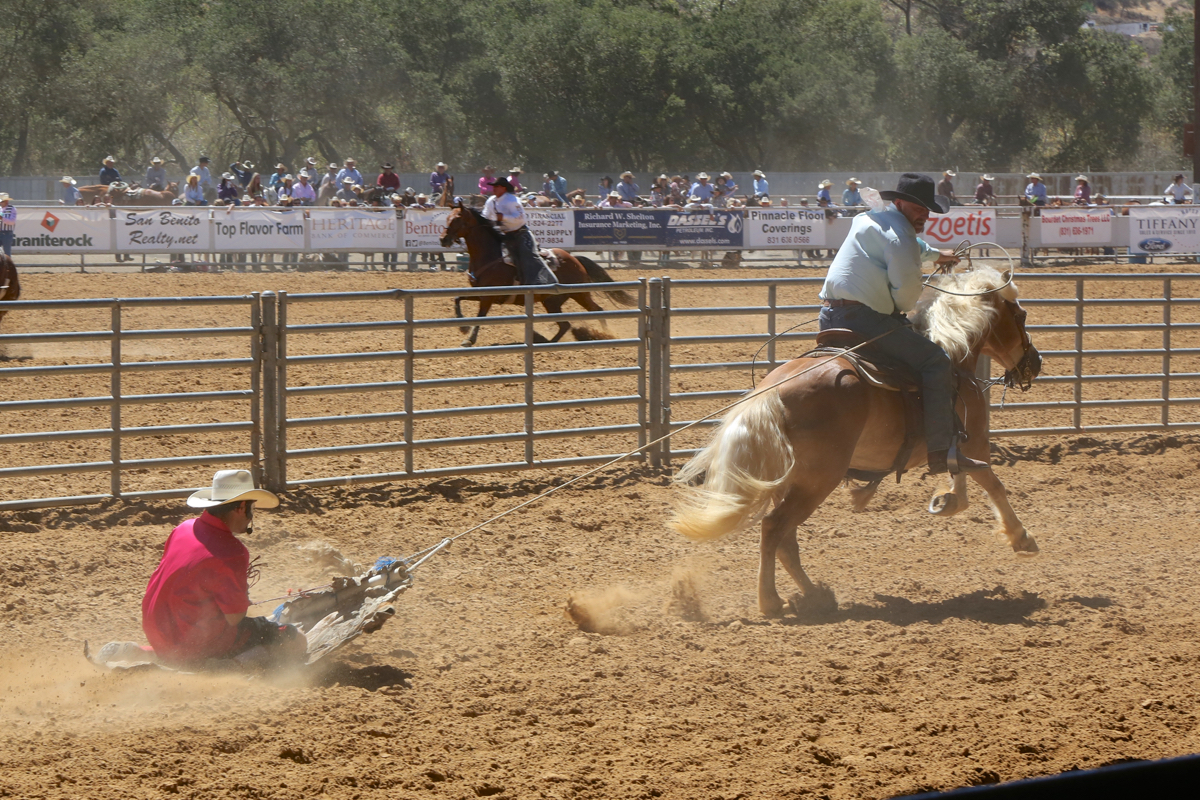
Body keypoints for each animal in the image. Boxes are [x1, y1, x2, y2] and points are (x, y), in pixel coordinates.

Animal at [439, 204, 636, 346]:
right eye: (447, 217)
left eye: (457, 219)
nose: (443, 239)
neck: (490, 255)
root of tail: (574, 258)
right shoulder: (480, 292)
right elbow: (457, 298)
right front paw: (463, 326)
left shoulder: (488, 297)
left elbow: (480, 316)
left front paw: (469, 339)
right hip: (552, 301)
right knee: (566, 324)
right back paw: (547, 341)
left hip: (579, 294)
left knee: (596, 311)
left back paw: (605, 335)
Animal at [669, 265, 1042, 618]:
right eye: (1021, 315)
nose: (1035, 363)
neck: (954, 355)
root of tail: (771, 392)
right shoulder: (974, 440)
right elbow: (992, 485)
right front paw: (1021, 537)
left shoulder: (958, 442)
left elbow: (960, 476)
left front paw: (947, 501)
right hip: (819, 480)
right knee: (774, 528)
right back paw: (771, 601)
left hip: (792, 481)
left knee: (786, 539)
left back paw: (815, 595)